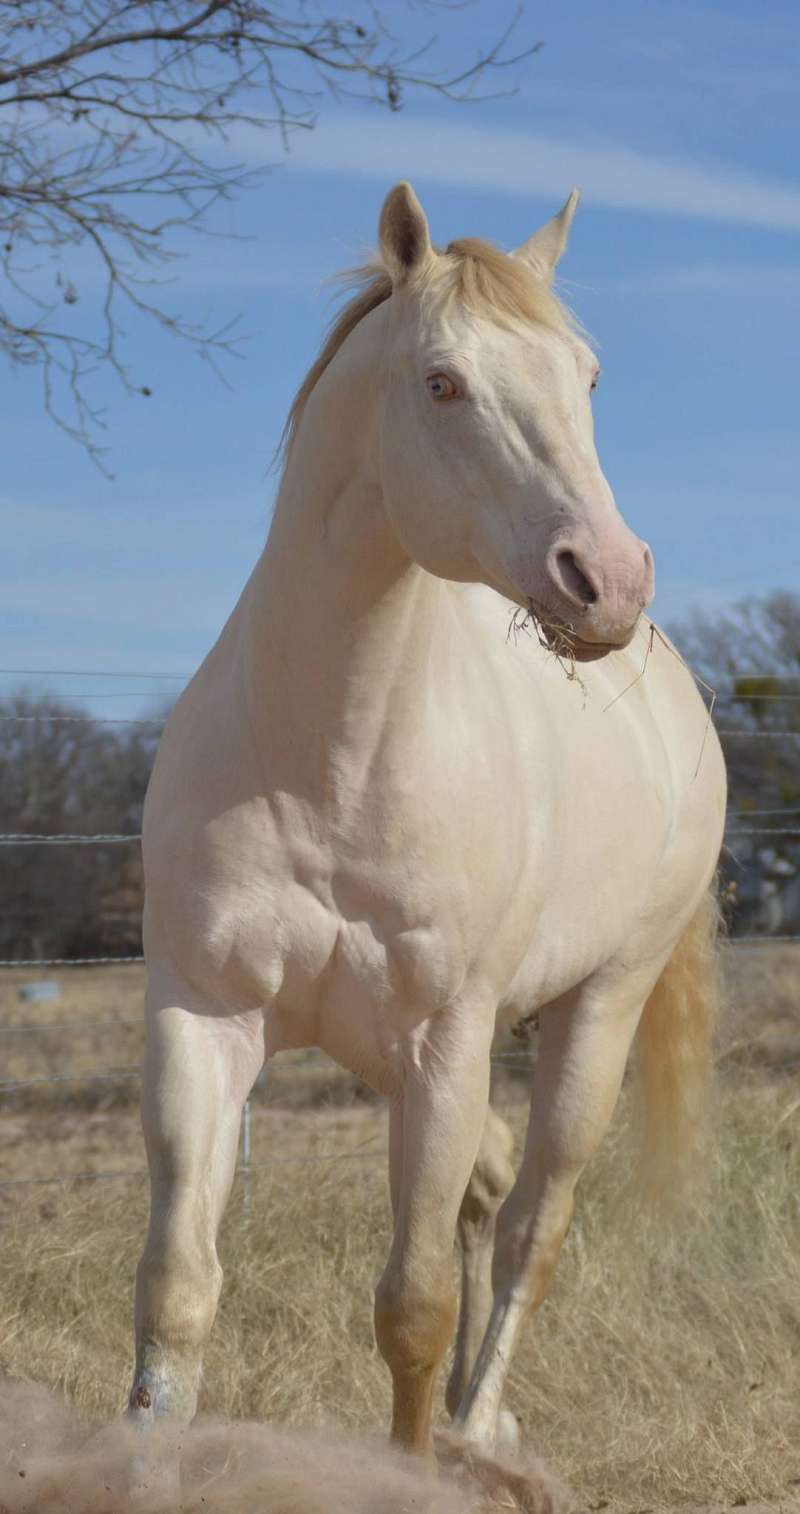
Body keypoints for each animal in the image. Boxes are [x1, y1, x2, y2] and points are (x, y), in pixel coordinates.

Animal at [128, 182, 726, 1464]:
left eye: (587, 375)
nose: (606, 577)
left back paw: (476, 1425)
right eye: (441, 381)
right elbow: (176, 1296)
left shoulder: (444, 1040)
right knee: (492, 1188)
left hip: (594, 1011)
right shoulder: (204, 1018)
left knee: (531, 1225)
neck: (326, 760)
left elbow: (412, 1306)